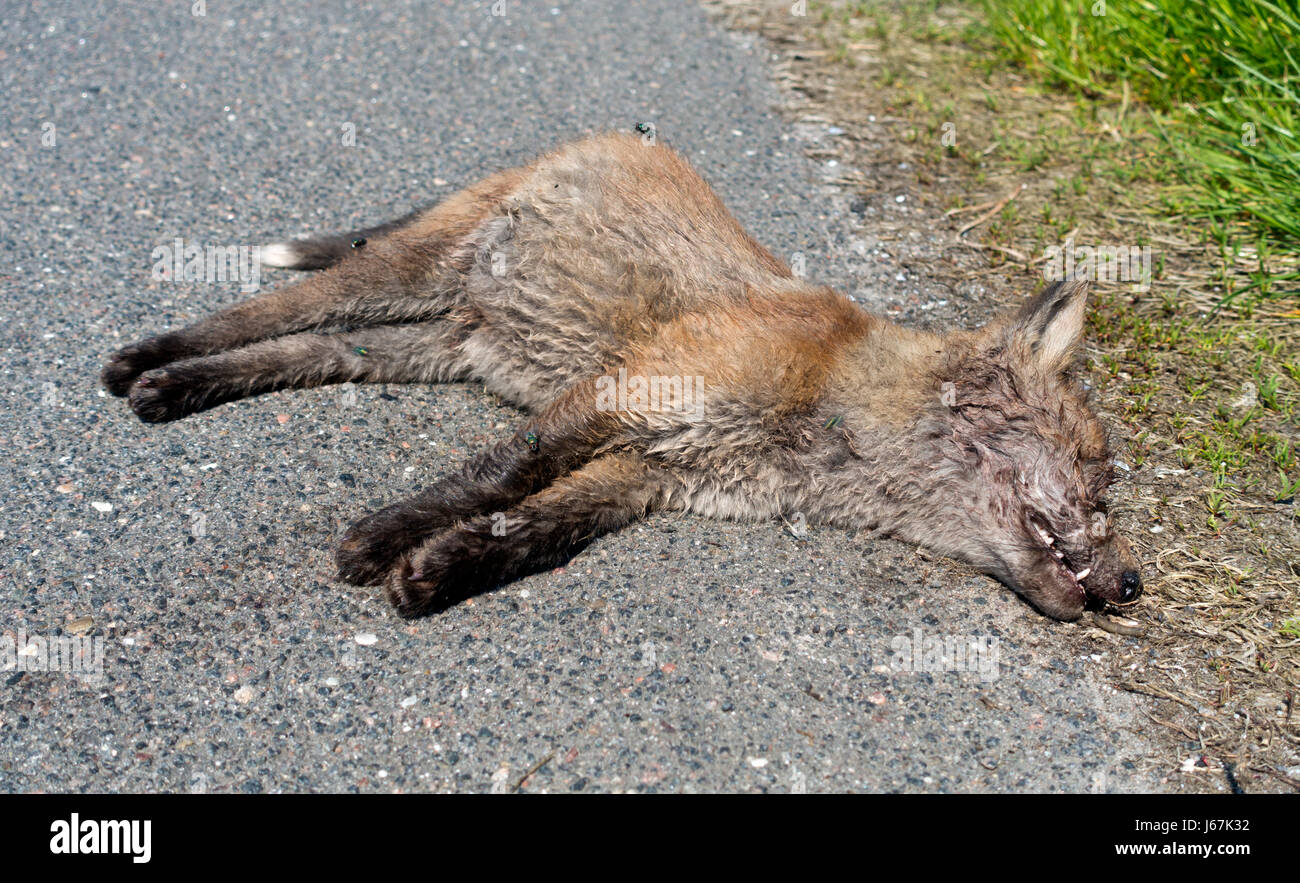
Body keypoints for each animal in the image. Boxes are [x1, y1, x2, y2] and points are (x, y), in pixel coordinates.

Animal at [101, 131, 1142, 621]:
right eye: (1100, 482)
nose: (1133, 584)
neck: (833, 414)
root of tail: (603, 137)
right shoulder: (624, 394)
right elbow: (496, 476)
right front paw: (384, 539)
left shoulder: (651, 472)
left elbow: (534, 531)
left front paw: (440, 570)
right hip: (410, 274)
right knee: (263, 312)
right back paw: (145, 364)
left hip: (435, 346)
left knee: (308, 353)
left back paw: (176, 388)